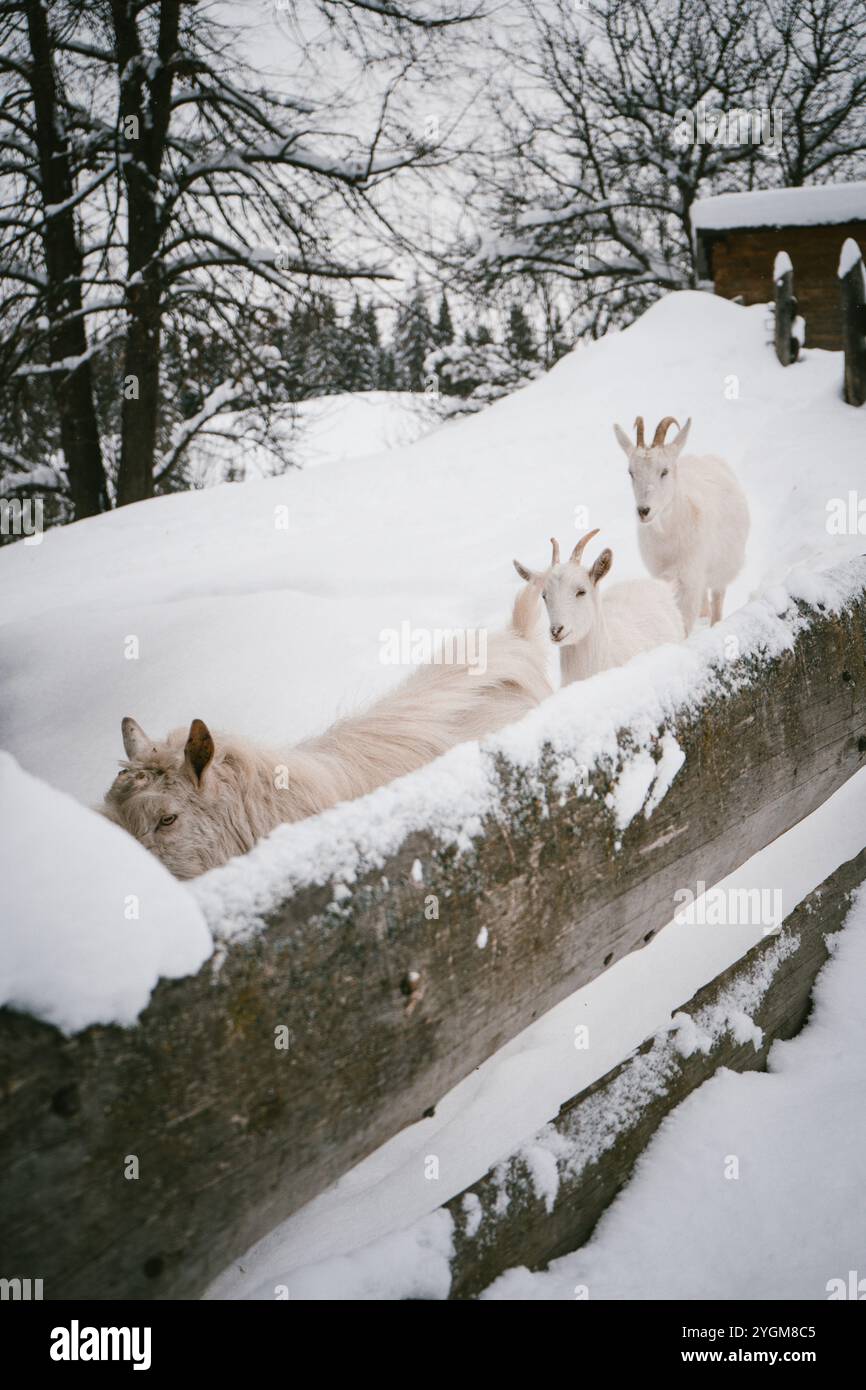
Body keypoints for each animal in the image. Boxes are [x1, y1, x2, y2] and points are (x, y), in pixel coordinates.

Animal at [613, 415, 750, 633]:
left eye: (664, 471)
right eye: (631, 472)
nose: (643, 510)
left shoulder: (689, 577)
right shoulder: (665, 575)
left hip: (722, 567)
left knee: (717, 598)